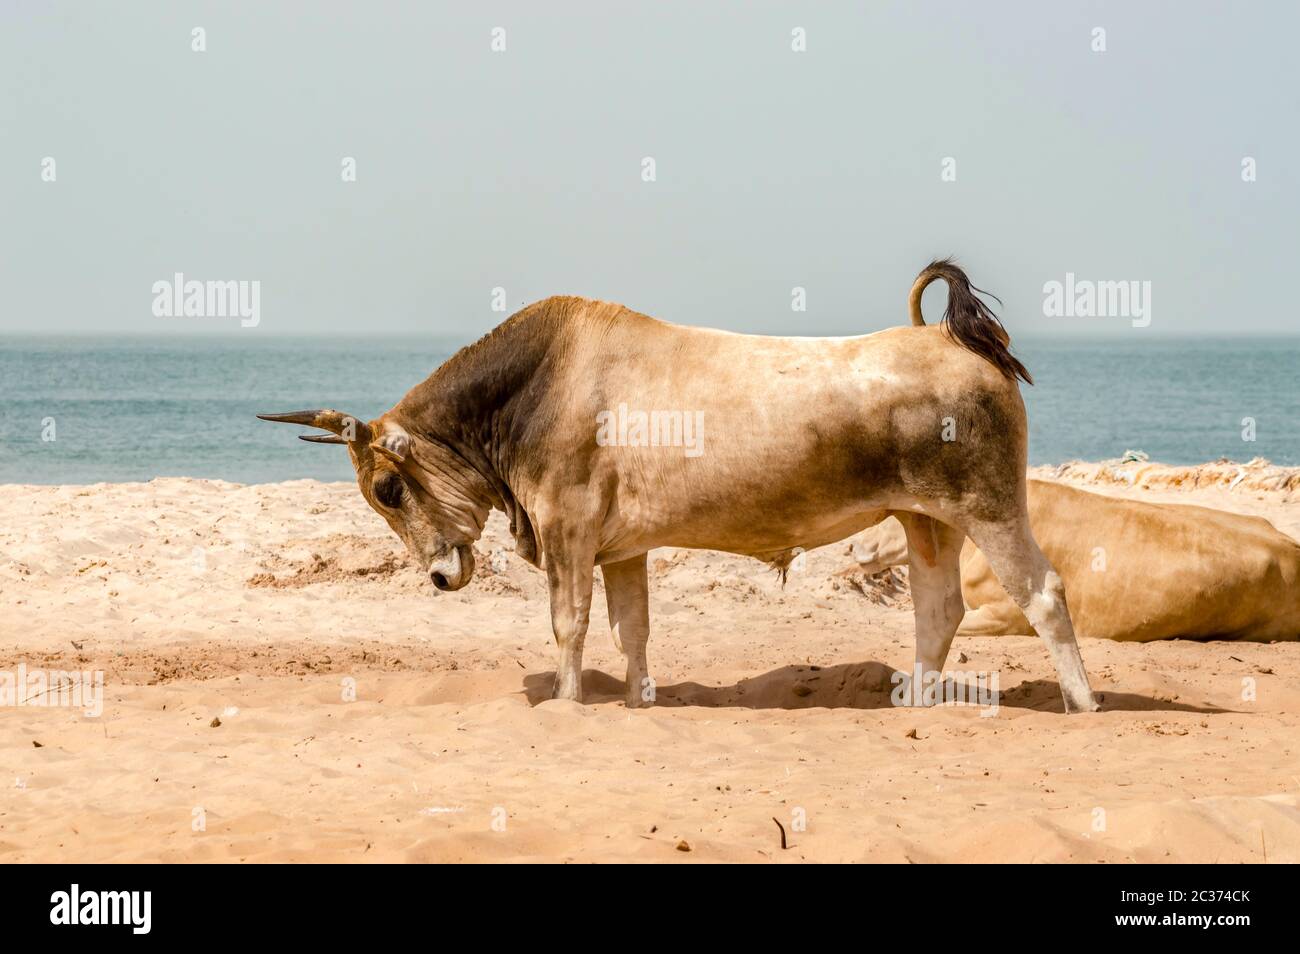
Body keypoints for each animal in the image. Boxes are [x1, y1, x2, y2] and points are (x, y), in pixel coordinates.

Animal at [260, 261, 1099, 712]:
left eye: (386, 489)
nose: (438, 576)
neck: (530, 388)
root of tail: (952, 341)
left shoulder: (568, 529)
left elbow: (569, 625)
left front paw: (568, 704)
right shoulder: (622, 548)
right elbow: (632, 629)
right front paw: (637, 700)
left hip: (992, 507)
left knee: (1044, 592)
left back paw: (1082, 701)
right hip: (927, 519)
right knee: (938, 609)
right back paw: (918, 702)